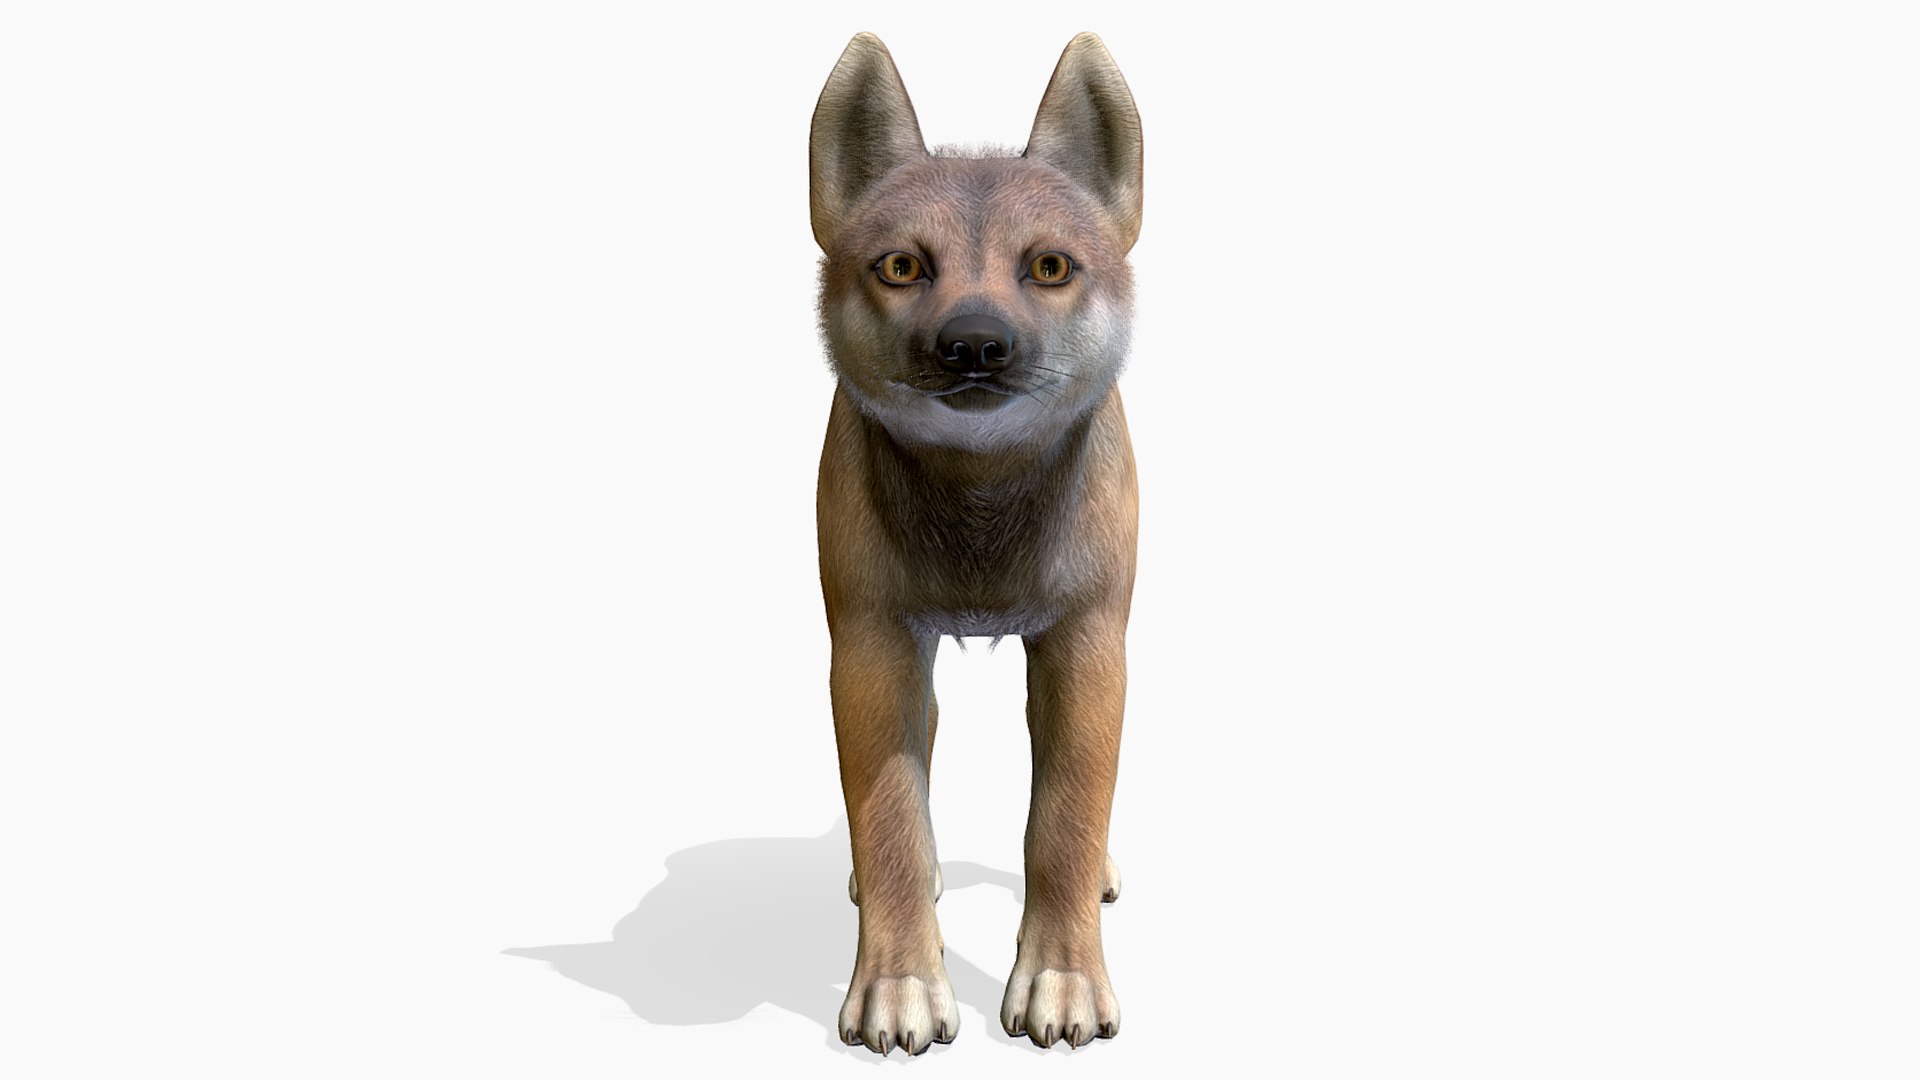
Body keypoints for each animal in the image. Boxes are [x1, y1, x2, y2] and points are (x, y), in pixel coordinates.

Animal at [809, 32, 1143, 1054]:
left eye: (1050, 268)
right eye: (901, 267)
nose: (974, 343)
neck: (981, 503)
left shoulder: (1085, 645)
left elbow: (1065, 820)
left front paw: (1064, 977)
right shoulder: (871, 647)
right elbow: (888, 817)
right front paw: (899, 982)